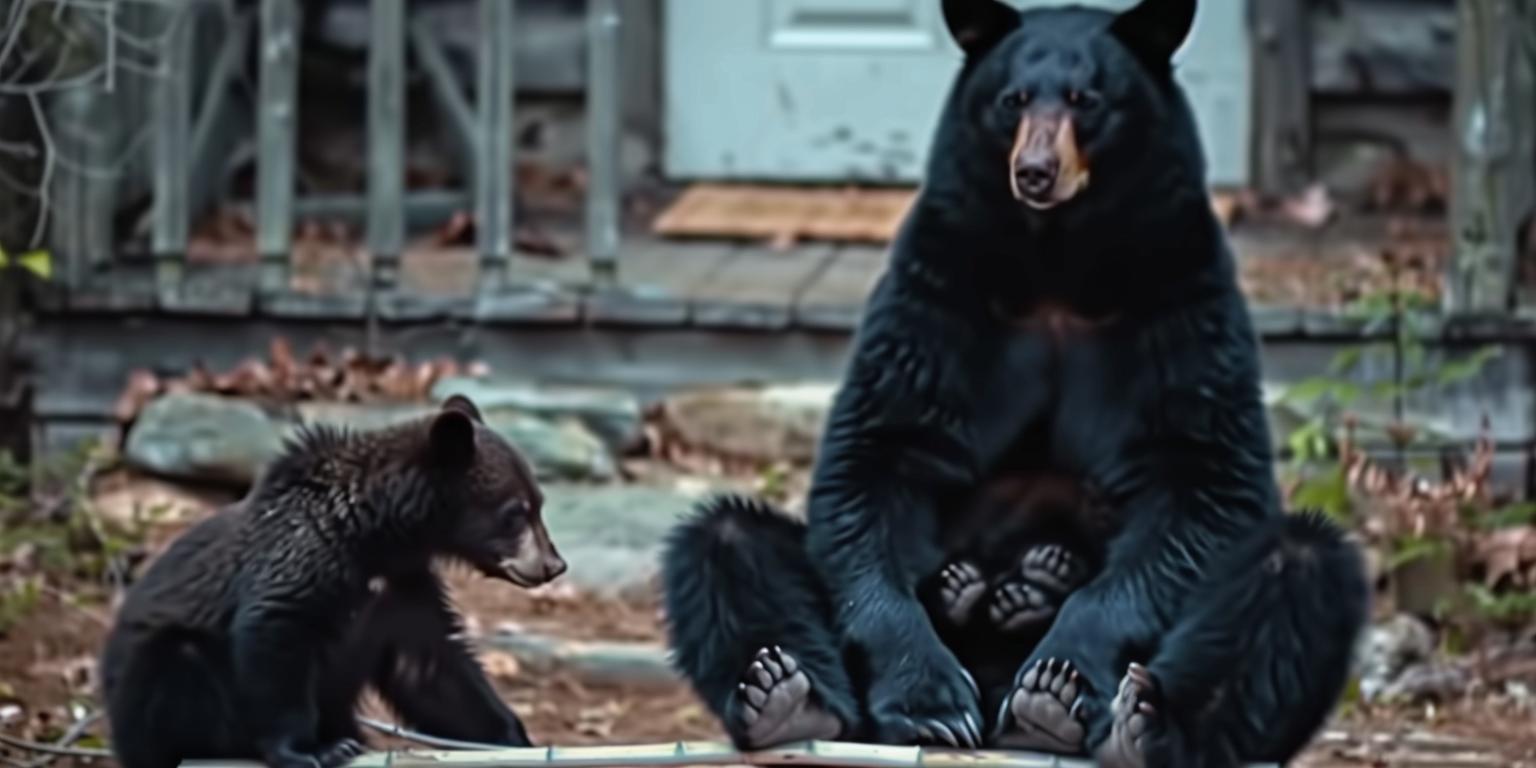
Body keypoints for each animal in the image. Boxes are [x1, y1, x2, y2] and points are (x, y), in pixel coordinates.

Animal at [99, 395, 566, 768]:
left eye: (539, 503)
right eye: (516, 511)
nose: (553, 565)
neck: (374, 533)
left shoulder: (402, 583)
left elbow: (431, 668)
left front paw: (514, 737)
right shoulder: (302, 558)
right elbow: (276, 636)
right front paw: (310, 749)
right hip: (147, 696)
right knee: (175, 663)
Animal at [660, 0, 1369, 766]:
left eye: (1087, 100)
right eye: (1012, 100)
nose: (1034, 171)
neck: (1054, 260)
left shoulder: (1183, 292)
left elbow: (1201, 475)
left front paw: (1060, 680)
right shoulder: (938, 286)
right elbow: (878, 452)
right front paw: (931, 702)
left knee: (1298, 565)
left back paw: (1111, 717)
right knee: (726, 540)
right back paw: (793, 698)